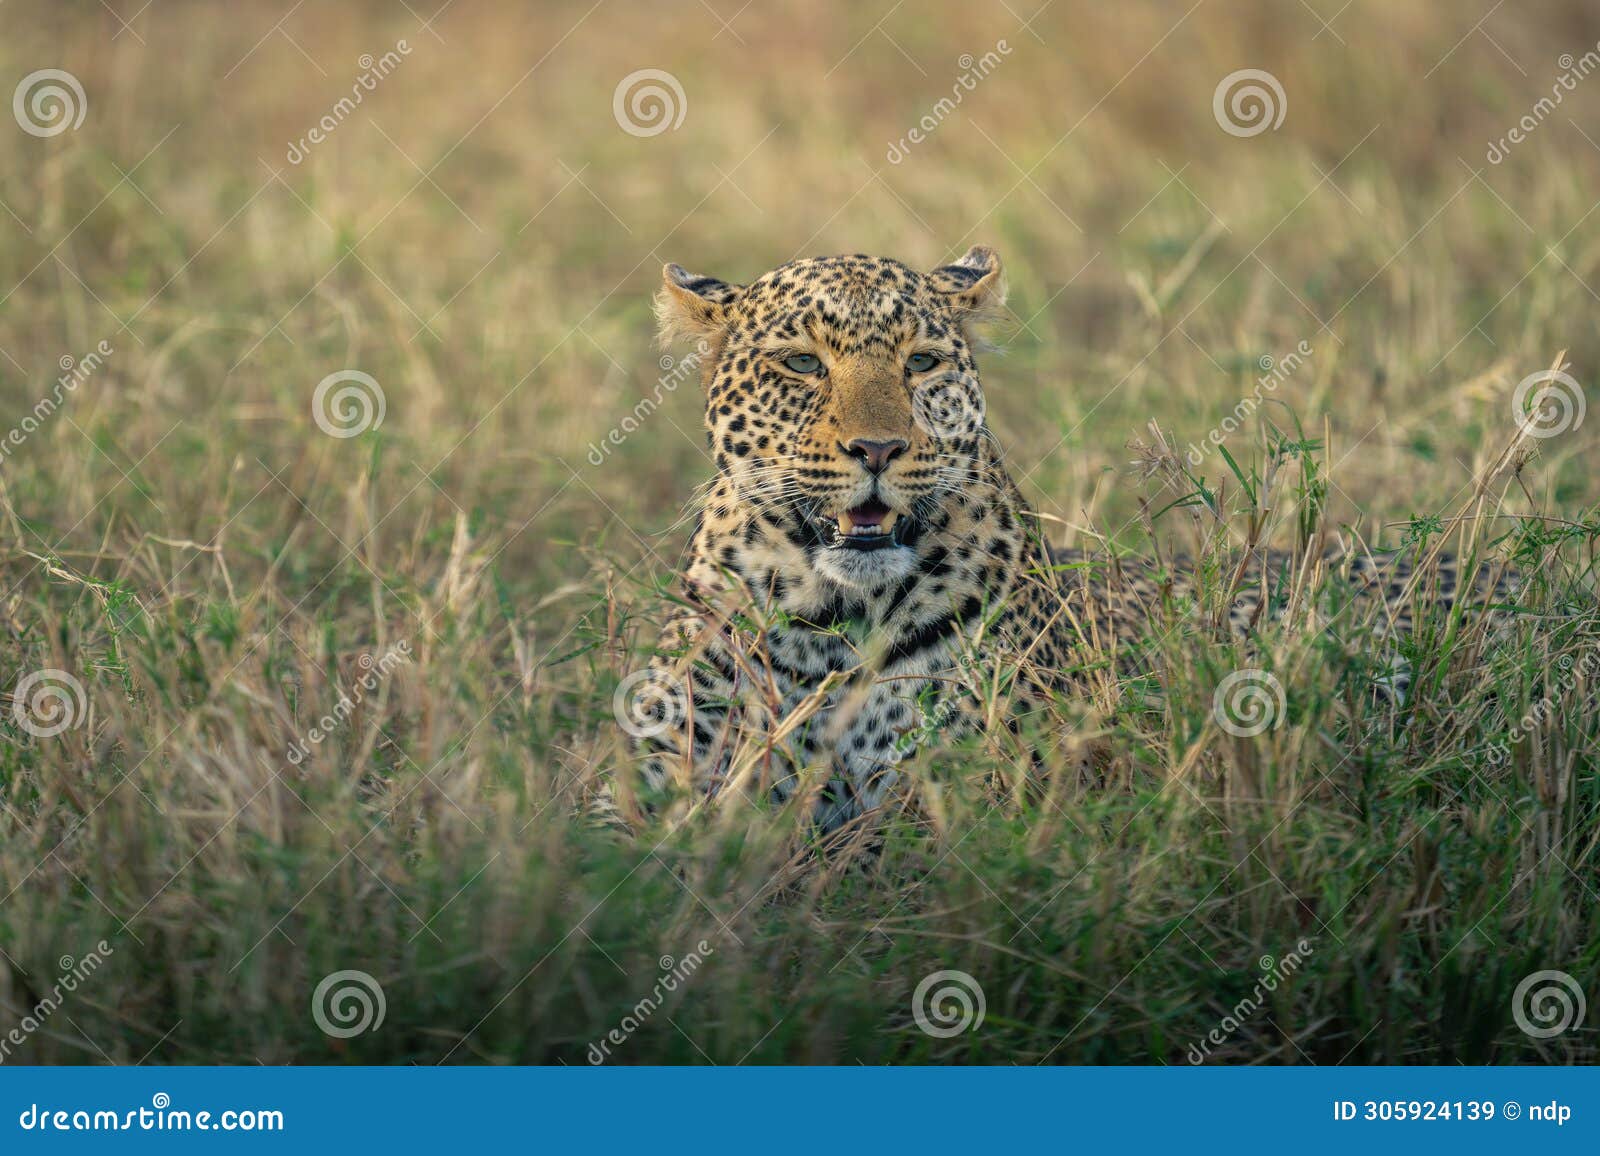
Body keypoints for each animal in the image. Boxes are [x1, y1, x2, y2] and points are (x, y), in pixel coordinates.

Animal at [615, 247, 1525, 834]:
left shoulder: (964, 799)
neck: (828, 616)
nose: (877, 449)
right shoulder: (655, 782)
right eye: (801, 364)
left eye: (921, 363)